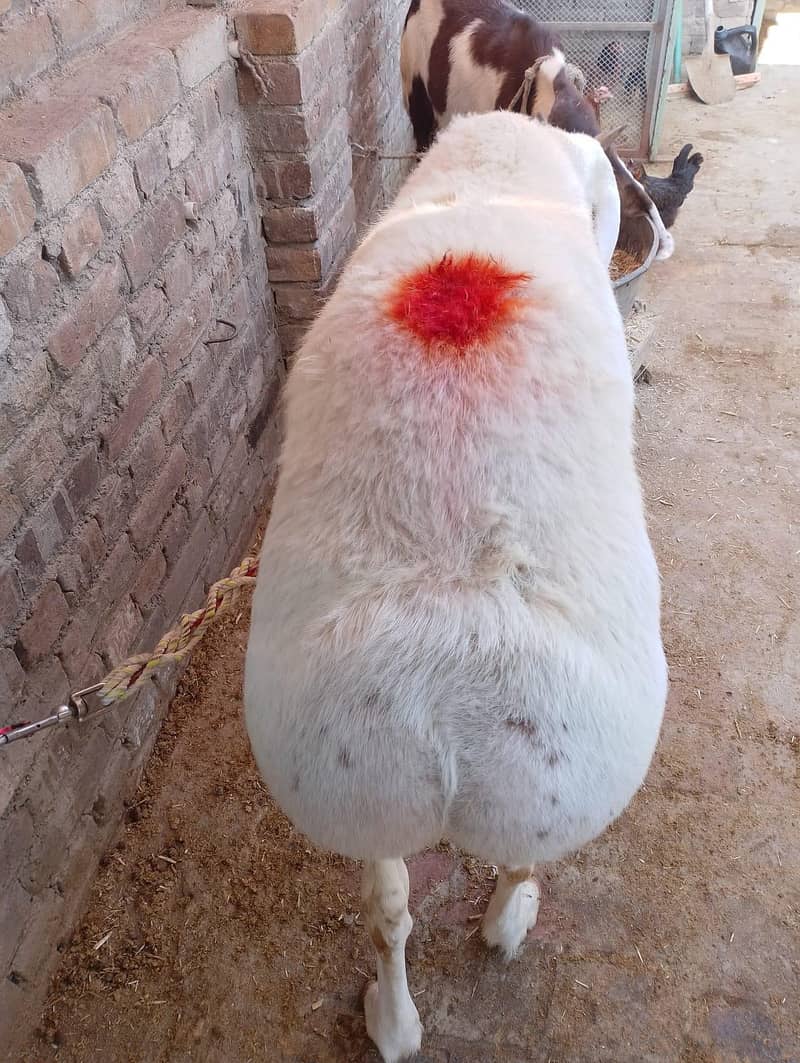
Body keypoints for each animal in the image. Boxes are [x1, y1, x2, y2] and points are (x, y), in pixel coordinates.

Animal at [244, 111, 667, 1063]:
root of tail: (444, 685)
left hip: (353, 785)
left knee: (386, 905)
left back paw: (394, 1023)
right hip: (566, 780)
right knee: (518, 860)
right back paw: (512, 919)